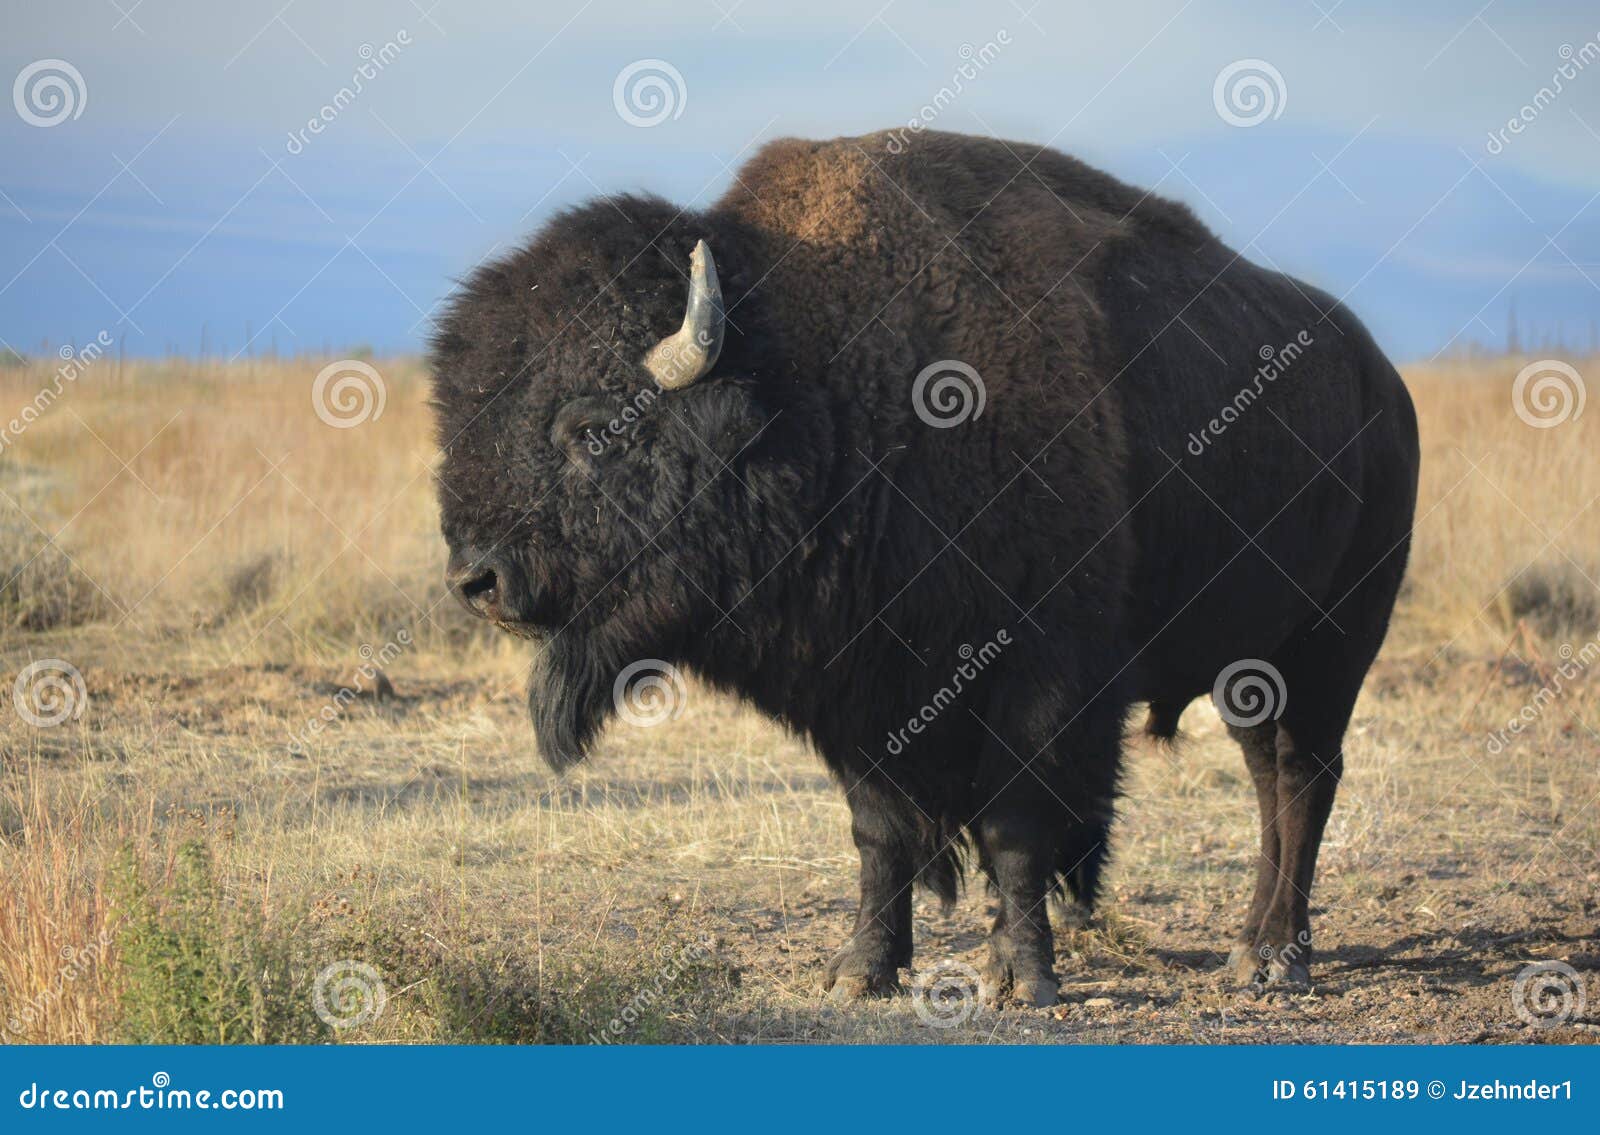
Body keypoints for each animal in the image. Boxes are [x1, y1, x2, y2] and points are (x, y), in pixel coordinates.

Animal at [430, 129, 1420, 1006]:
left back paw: (1278, 959)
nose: (478, 580)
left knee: (1305, 780)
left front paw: (1022, 978)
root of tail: (1385, 382)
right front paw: (861, 971)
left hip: (1332, 648)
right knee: (1268, 781)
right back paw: (1249, 949)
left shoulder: (1040, 678)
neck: (821, 373)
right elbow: (881, 832)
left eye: (593, 426)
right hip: (1246, 667)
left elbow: (1016, 828)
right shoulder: (860, 692)